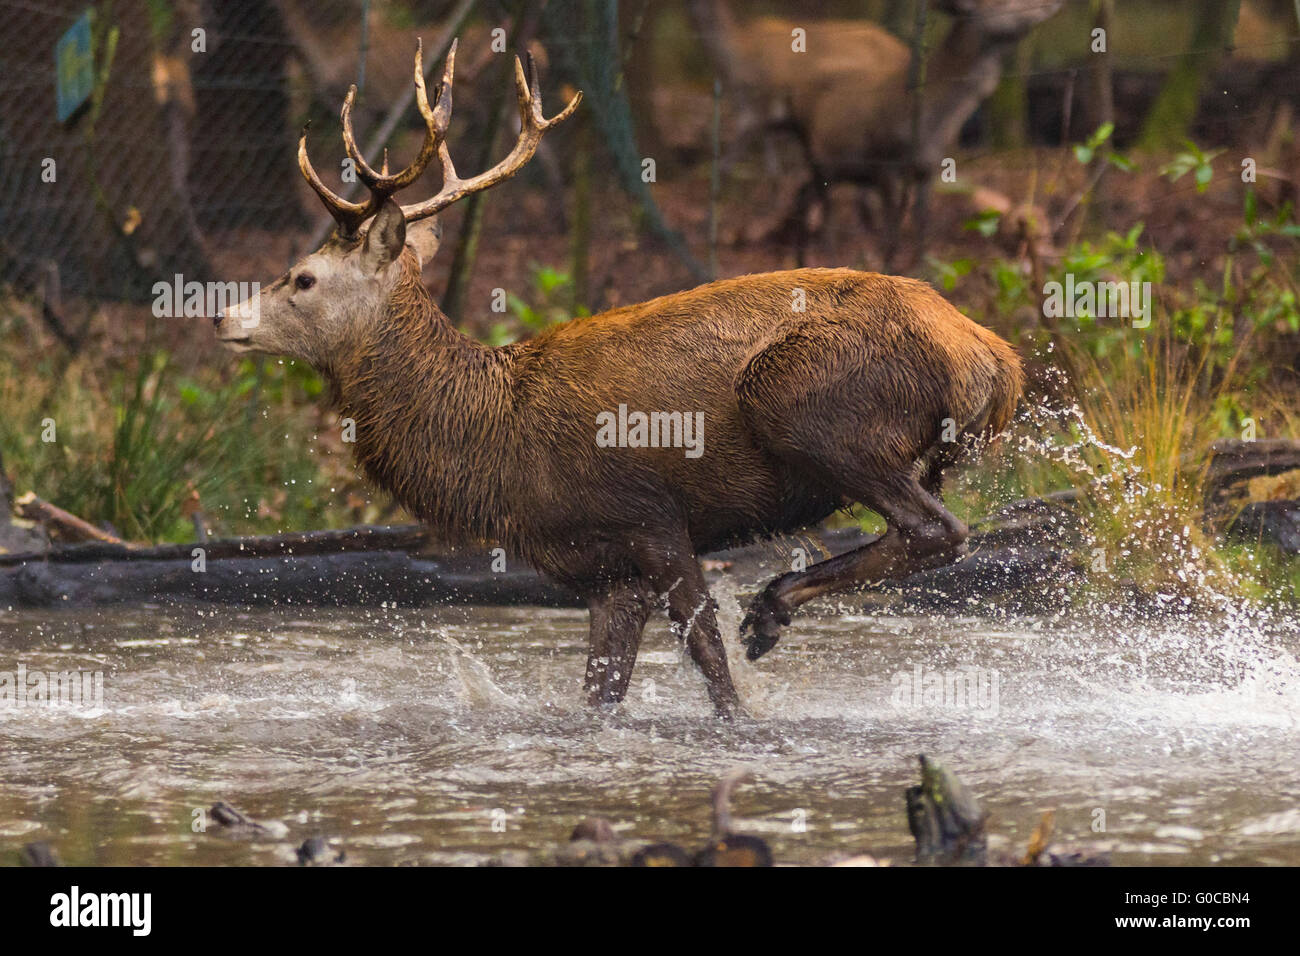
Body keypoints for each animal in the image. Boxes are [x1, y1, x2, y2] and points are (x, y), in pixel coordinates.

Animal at [214, 40, 1023, 719]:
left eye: (304, 277)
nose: (224, 315)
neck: (495, 439)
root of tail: (993, 358)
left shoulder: (651, 516)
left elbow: (711, 664)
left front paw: (741, 707)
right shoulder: (606, 573)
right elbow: (599, 695)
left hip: (807, 402)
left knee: (941, 528)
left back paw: (771, 607)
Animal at [687, 0, 1063, 264]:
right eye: (999, 1)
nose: (1050, 3)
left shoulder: (929, 167)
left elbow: (921, 229)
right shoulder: (883, 165)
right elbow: (890, 234)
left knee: (809, 197)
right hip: (818, 153)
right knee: (817, 205)